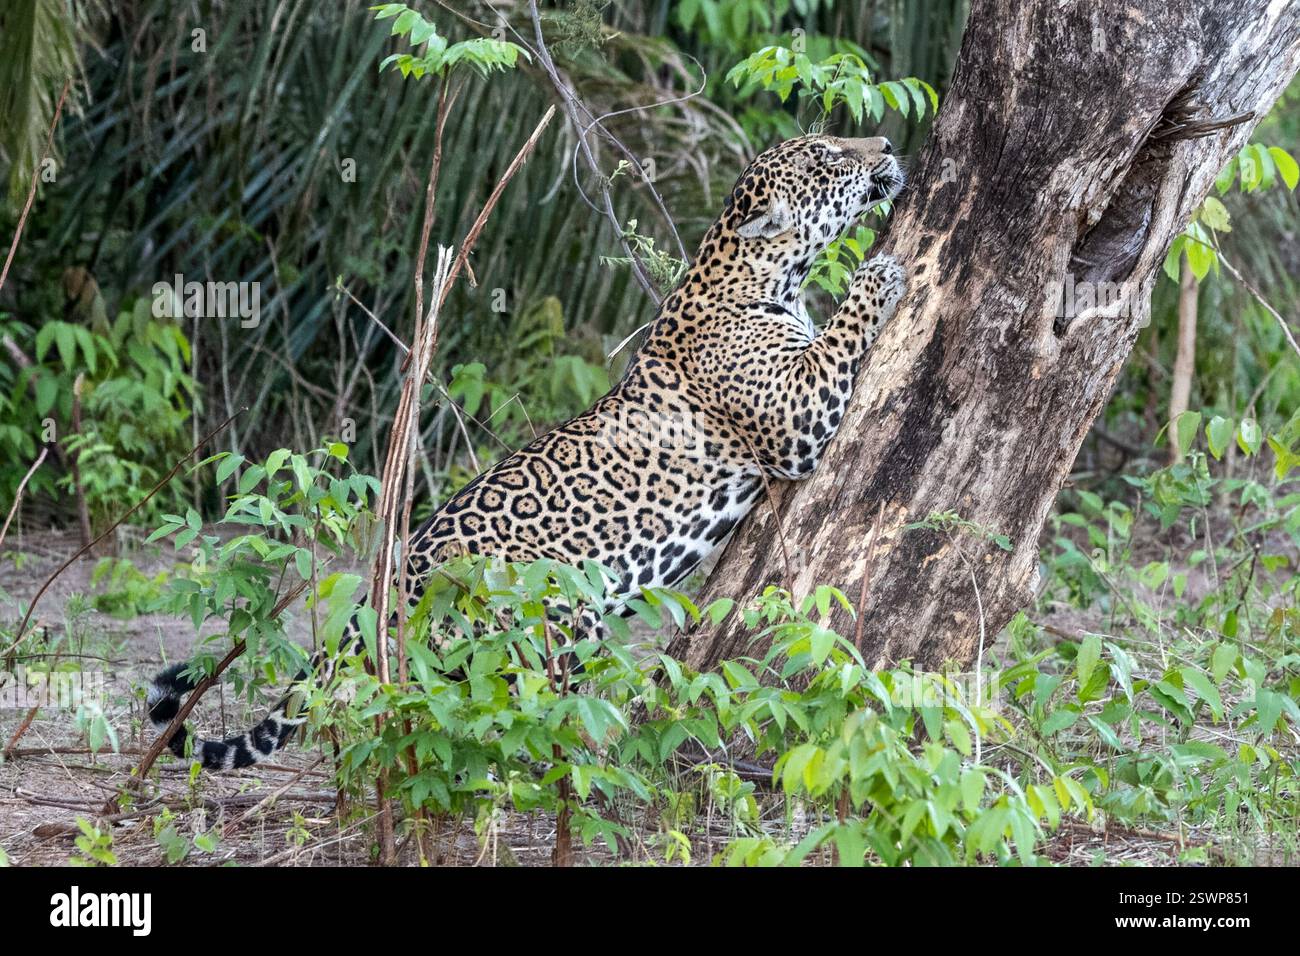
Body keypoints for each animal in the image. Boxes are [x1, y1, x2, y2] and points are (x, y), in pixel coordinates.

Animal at [147, 133, 908, 770]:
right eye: (828, 157)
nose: (888, 144)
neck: (761, 273)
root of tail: (392, 583)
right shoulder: (794, 418)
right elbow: (841, 333)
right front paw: (879, 274)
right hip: (550, 618)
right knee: (523, 713)